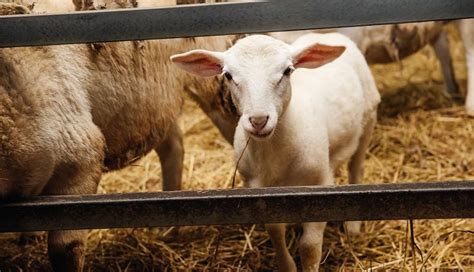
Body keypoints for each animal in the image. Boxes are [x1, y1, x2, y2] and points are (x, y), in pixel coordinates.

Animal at [172, 33, 380, 272]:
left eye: (287, 71)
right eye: (228, 75)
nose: (258, 120)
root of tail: (327, 34)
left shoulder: (320, 184)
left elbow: (309, 246)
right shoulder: (260, 191)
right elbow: (275, 230)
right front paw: (286, 265)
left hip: (368, 119)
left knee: (356, 167)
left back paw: (353, 227)